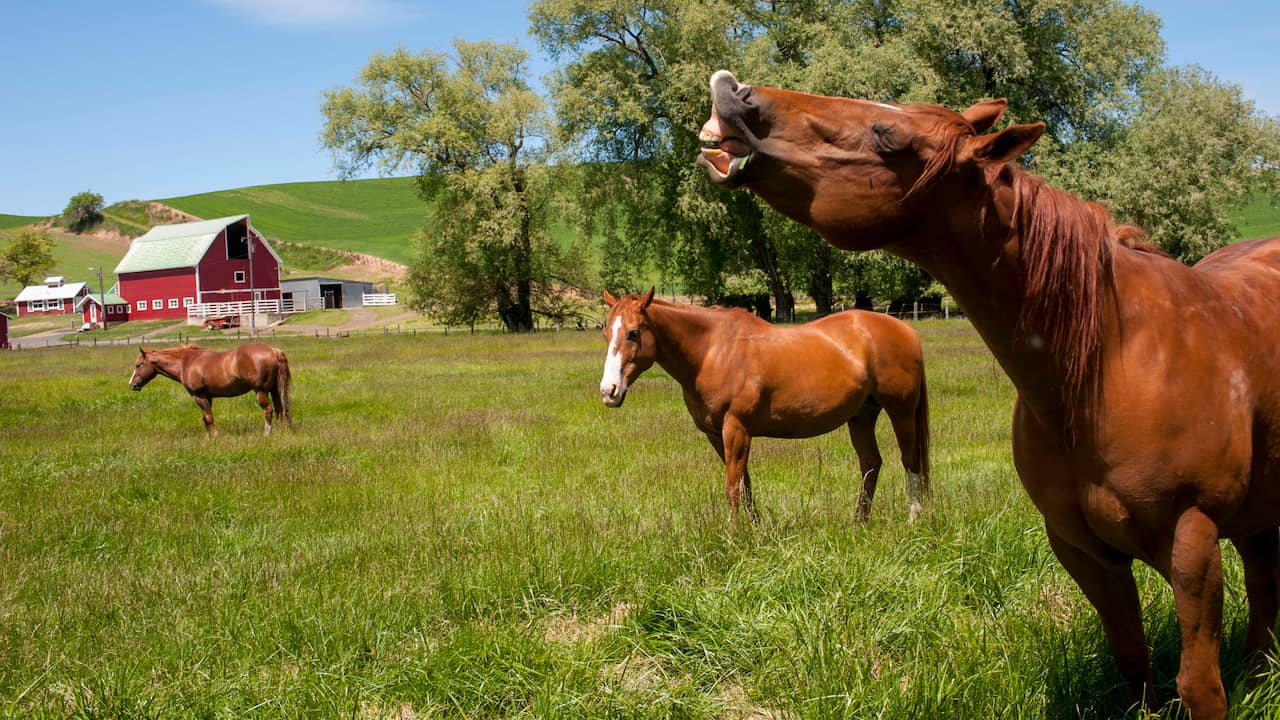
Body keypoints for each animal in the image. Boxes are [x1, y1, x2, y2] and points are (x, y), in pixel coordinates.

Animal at [129, 343, 292, 437]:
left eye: (138, 365)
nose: (132, 385)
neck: (186, 362)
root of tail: (274, 351)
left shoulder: (199, 396)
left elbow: (208, 417)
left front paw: (215, 436)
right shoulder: (207, 397)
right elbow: (205, 418)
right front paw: (208, 437)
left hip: (261, 391)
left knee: (268, 410)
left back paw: (267, 433)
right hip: (274, 389)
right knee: (279, 409)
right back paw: (281, 431)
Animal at [599, 288, 930, 523]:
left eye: (633, 333)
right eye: (605, 332)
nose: (608, 391)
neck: (712, 351)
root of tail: (906, 330)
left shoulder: (736, 429)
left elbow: (733, 486)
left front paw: (733, 536)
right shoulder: (717, 434)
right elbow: (744, 484)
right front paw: (755, 530)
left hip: (900, 411)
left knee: (909, 459)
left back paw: (913, 518)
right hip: (862, 415)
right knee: (871, 464)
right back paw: (858, 522)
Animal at [695, 70, 1280, 719]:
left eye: (888, 133)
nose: (734, 92)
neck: (1108, 361)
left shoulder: (1192, 545)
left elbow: (1199, 687)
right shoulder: (1082, 550)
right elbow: (1134, 666)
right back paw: (1259, 677)